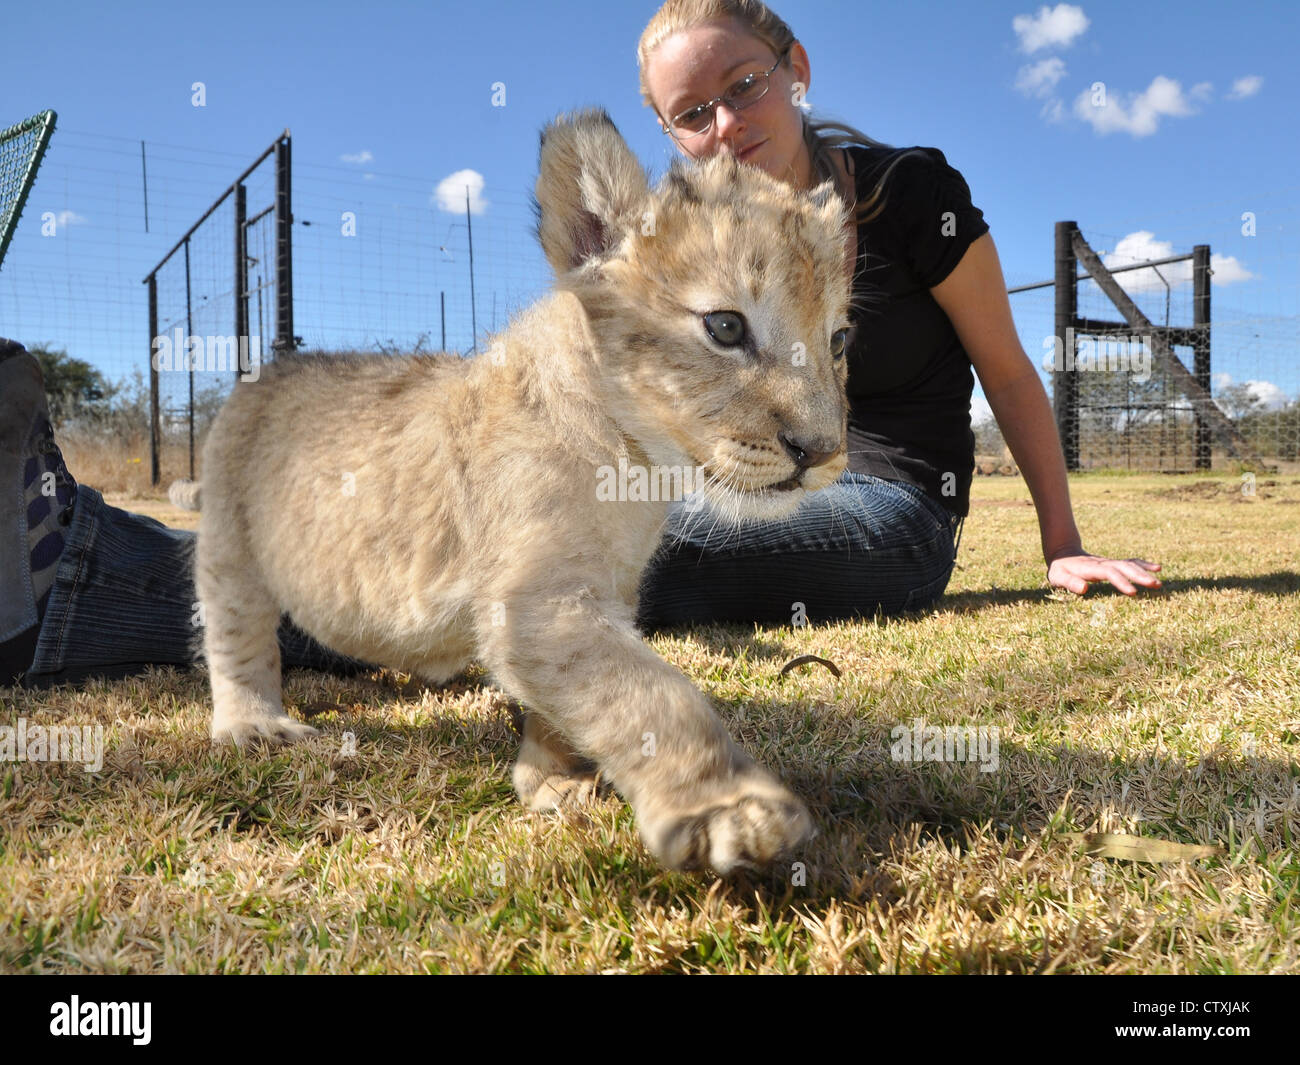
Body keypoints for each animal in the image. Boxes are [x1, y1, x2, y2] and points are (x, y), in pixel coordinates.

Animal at [195, 108, 853, 874]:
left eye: (839, 339)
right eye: (725, 327)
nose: (821, 451)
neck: (635, 467)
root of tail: (266, 371)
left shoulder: (600, 591)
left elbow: (579, 699)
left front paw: (552, 779)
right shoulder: (532, 599)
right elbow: (650, 694)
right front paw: (727, 807)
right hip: (231, 545)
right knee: (235, 635)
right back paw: (253, 724)